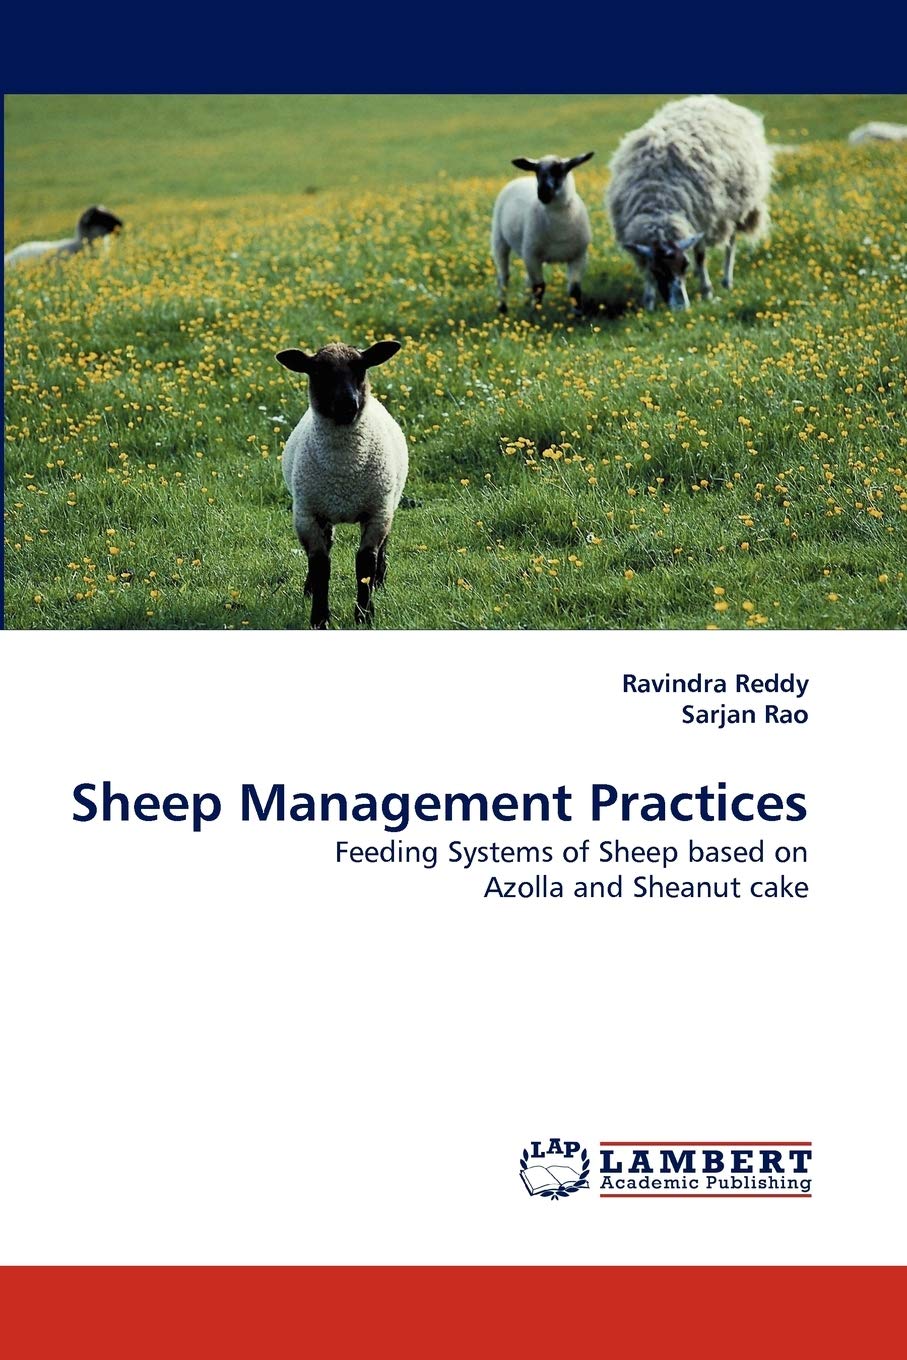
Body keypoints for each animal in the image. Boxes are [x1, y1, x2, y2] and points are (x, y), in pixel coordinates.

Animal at [276, 341, 408, 629]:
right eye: (318, 371)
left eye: (361, 367)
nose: (349, 403)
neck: (344, 471)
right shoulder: (307, 516)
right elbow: (320, 564)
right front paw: (319, 618)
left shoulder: (376, 512)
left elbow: (365, 563)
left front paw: (364, 615)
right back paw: (309, 589)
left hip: (389, 502)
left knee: (384, 545)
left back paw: (380, 581)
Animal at [491, 152, 595, 315]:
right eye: (536, 171)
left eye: (559, 170)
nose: (543, 194)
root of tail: (521, 179)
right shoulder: (532, 256)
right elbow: (539, 287)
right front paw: (536, 312)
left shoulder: (579, 256)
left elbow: (575, 289)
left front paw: (578, 314)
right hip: (499, 239)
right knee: (503, 277)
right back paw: (502, 307)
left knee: (526, 279)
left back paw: (525, 302)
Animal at [607, 96, 771, 311]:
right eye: (658, 271)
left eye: (683, 265)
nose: (681, 308)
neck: (659, 204)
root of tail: (708, 98)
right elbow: (646, 269)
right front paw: (649, 302)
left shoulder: (702, 219)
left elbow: (701, 258)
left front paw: (707, 291)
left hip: (735, 208)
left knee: (731, 243)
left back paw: (727, 281)